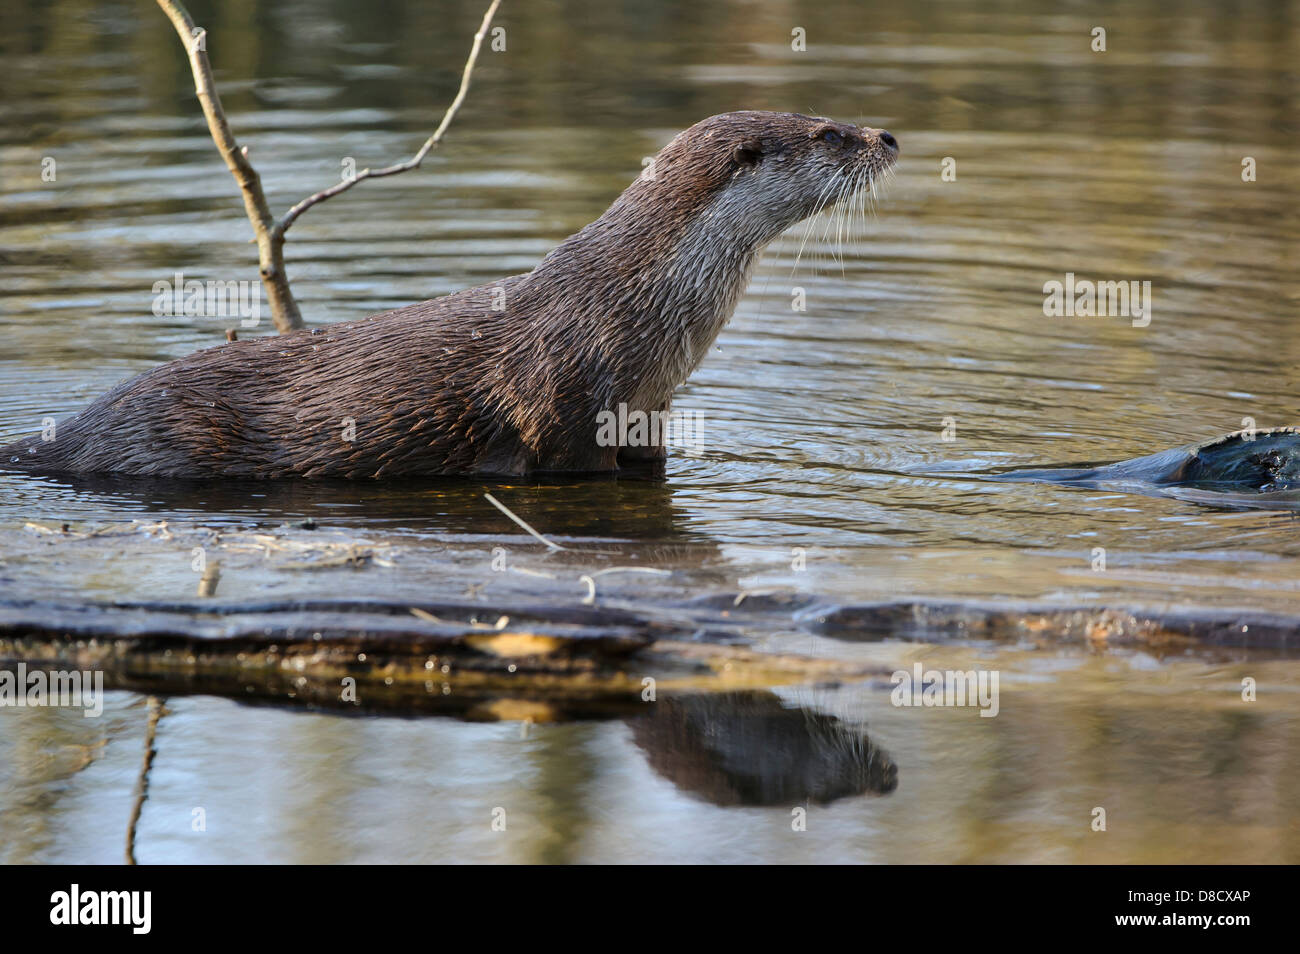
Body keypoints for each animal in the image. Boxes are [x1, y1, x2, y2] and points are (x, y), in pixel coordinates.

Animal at [1, 112, 897, 478]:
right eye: (826, 132)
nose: (886, 134)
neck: (637, 305)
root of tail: (64, 436)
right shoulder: (564, 402)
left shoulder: (648, 410)